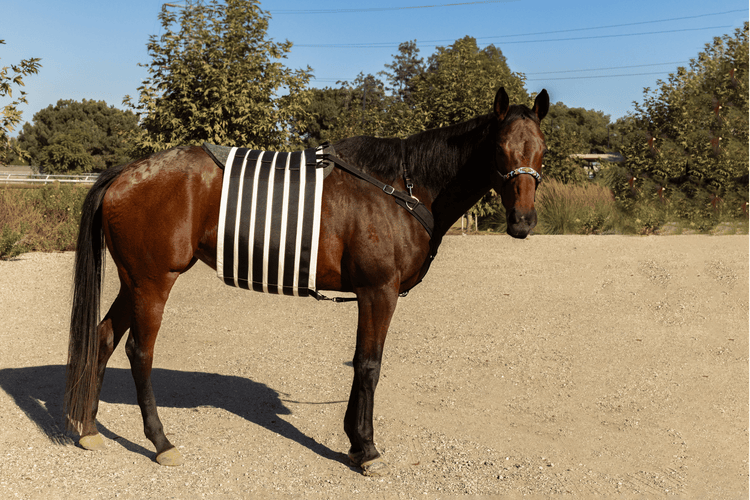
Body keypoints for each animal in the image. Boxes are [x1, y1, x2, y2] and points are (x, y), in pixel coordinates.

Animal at [64, 87, 549, 475]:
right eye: (501, 149)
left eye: (541, 149)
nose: (523, 222)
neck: (402, 188)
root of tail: (127, 172)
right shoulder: (379, 293)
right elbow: (369, 365)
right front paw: (367, 448)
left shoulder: (370, 295)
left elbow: (360, 364)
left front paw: (355, 441)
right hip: (152, 282)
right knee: (139, 352)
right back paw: (160, 441)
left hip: (133, 281)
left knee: (103, 338)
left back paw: (88, 428)